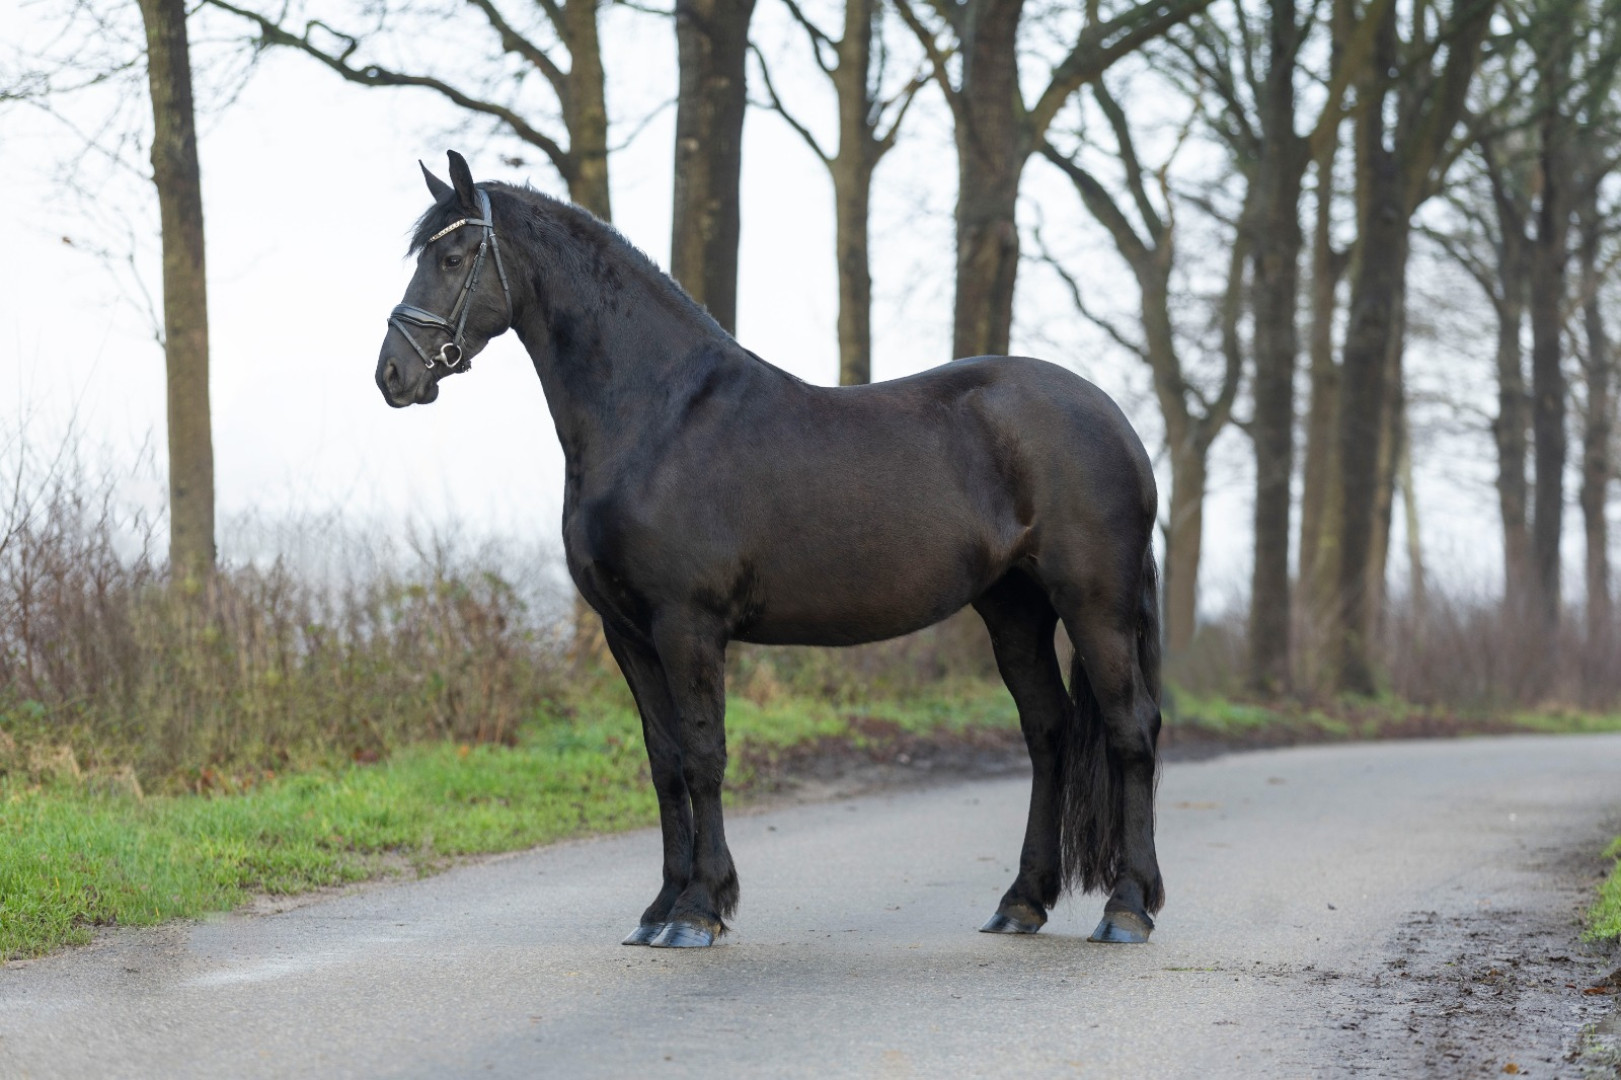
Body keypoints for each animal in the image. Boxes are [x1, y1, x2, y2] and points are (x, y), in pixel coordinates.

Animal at [377, 151, 1166, 949]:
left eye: (452, 256)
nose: (392, 375)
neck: (657, 416)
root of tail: (1114, 419)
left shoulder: (687, 625)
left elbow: (703, 756)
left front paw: (698, 910)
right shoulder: (626, 632)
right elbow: (664, 763)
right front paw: (659, 909)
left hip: (1093, 604)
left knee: (1130, 729)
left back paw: (1126, 907)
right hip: (1014, 610)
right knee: (1048, 733)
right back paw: (1021, 902)